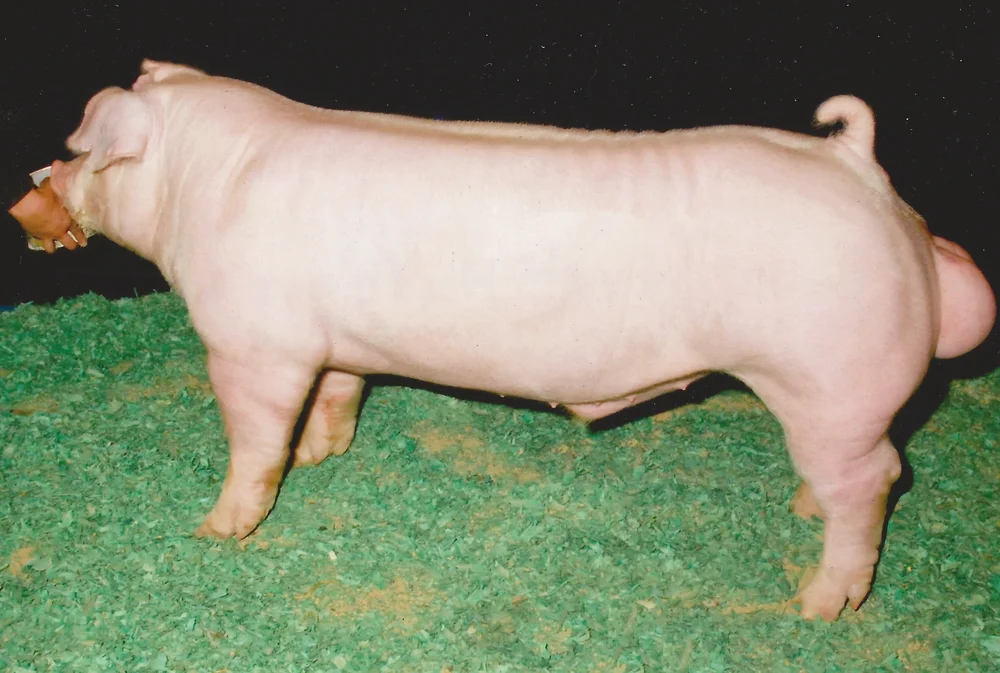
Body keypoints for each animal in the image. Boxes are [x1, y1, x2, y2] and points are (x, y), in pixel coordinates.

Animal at [49, 59, 996, 622]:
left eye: (77, 148)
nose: (35, 188)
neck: (207, 179)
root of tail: (859, 168)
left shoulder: (253, 342)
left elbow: (255, 439)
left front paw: (216, 530)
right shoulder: (335, 341)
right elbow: (341, 391)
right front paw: (322, 455)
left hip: (831, 376)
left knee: (875, 478)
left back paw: (817, 604)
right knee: (852, 474)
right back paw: (802, 512)